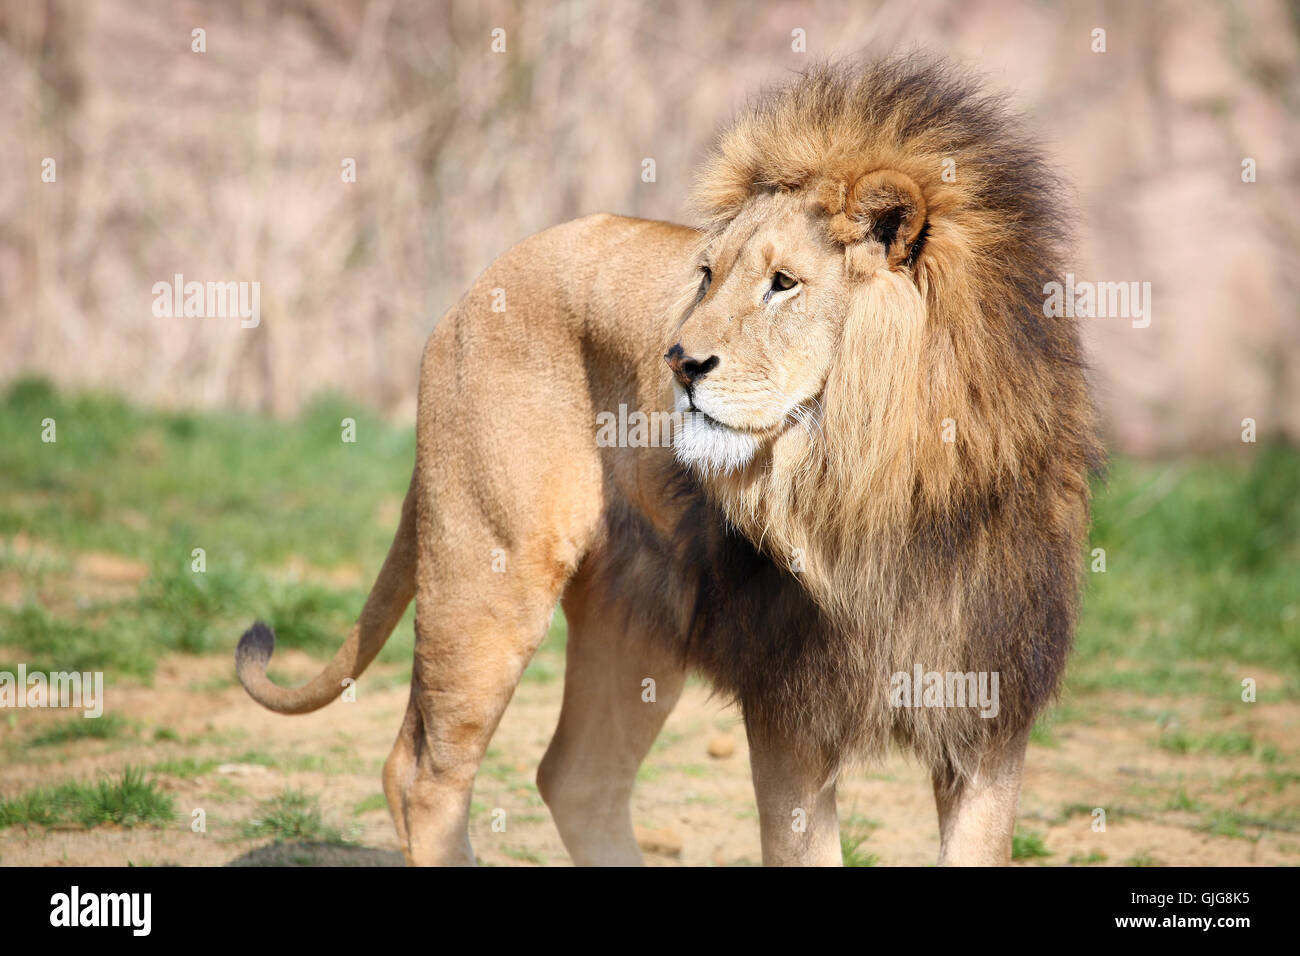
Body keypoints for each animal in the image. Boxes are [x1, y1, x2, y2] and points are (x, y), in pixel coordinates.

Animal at [236, 55, 1102, 866]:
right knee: (424, 772)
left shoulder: (990, 714)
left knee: (576, 778)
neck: (891, 492)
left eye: (783, 284)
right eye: (707, 275)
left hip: (637, 613)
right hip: (488, 564)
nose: (680, 361)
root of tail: (478, 285)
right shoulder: (791, 711)